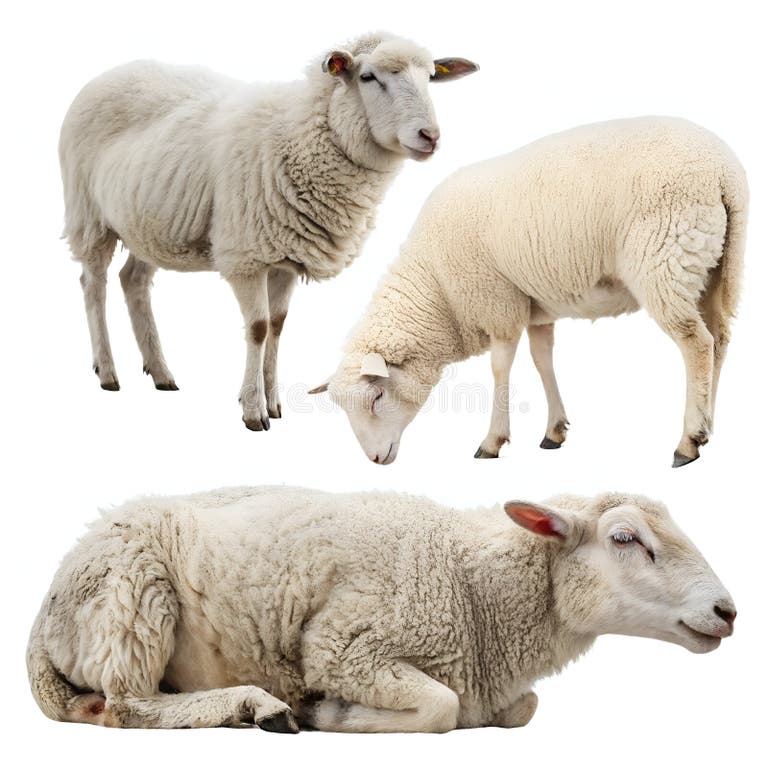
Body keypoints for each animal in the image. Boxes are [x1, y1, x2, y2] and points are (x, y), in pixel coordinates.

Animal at [27, 485, 735, 733]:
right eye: (625, 539)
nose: (727, 611)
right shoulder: (343, 645)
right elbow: (441, 707)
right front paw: (332, 715)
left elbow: (523, 709)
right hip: (133, 594)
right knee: (129, 703)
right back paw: (256, 707)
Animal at [59, 33, 478, 430]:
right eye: (368, 77)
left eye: (430, 78)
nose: (429, 136)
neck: (297, 136)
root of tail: (110, 73)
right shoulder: (246, 255)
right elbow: (258, 329)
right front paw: (252, 410)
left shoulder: (286, 256)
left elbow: (277, 327)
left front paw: (274, 402)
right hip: (88, 214)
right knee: (93, 285)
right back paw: (107, 371)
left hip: (148, 224)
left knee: (133, 282)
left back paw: (161, 372)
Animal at [310, 117, 748, 466]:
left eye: (376, 398)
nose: (374, 459)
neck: (437, 288)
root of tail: (724, 172)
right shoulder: (536, 306)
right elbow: (543, 359)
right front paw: (554, 430)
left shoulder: (496, 300)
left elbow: (500, 366)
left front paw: (492, 441)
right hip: (711, 267)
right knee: (719, 340)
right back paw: (708, 424)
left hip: (665, 258)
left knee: (695, 344)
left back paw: (688, 441)